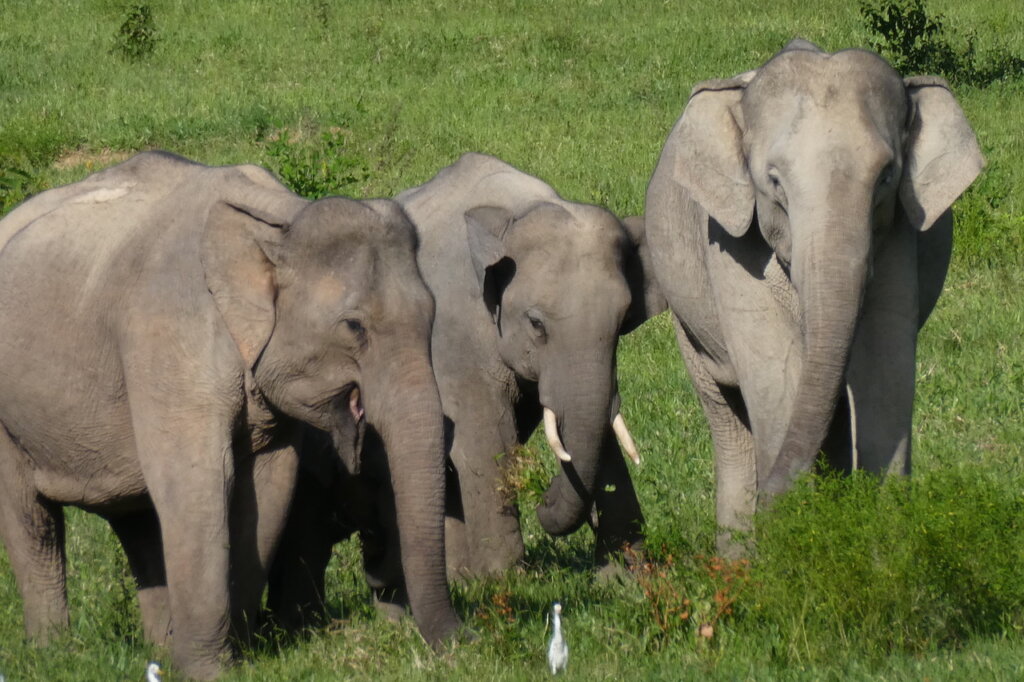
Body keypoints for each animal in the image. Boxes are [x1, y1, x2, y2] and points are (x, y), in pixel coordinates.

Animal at [0, 151, 460, 679]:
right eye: (353, 326)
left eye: (432, 316)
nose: (463, 640)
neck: (279, 218)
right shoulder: (168, 336)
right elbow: (201, 479)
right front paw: (210, 671)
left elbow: (268, 486)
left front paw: (241, 653)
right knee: (33, 523)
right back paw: (52, 654)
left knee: (138, 524)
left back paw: (159, 648)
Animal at [267, 152, 664, 626]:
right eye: (536, 324)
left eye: (623, 321)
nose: (545, 497)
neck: (516, 210)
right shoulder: (453, 336)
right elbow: (485, 441)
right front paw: (507, 580)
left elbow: (596, 424)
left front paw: (624, 578)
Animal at [645, 39, 984, 555]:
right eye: (774, 181)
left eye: (886, 176)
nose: (771, 504)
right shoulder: (729, 243)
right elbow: (778, 383)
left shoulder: (898, 240)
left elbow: (883, 379)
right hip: (687, 317)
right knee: (728, 421)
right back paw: (736, 559)